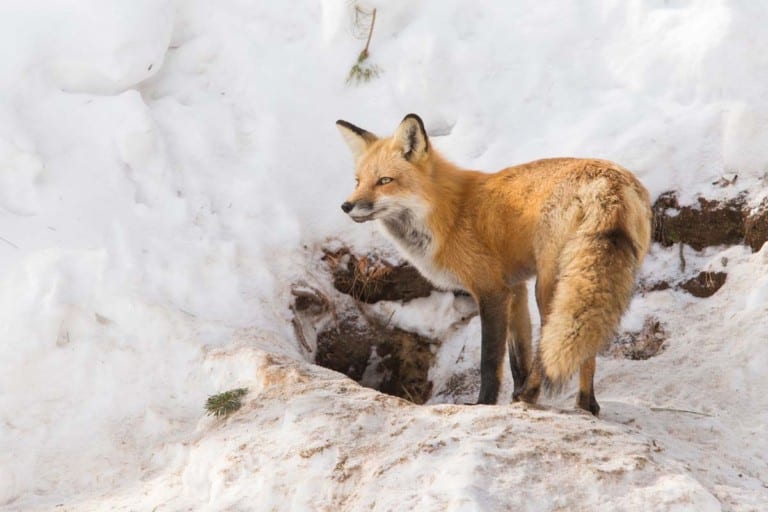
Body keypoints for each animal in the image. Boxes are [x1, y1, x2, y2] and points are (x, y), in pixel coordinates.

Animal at [336, 114, 652, 416]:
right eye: (357, 181)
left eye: (384, 181)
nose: (346, 206)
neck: (449, 214)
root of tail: (608, 181)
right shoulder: (515, 288)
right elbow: (518, 354)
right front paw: (516, 397)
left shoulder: (492, 290)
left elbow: (490, 360)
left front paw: (485, 403)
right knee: (584, 346)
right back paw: (584, 404)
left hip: (549, 286)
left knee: (552, 343)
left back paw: (537, 395)